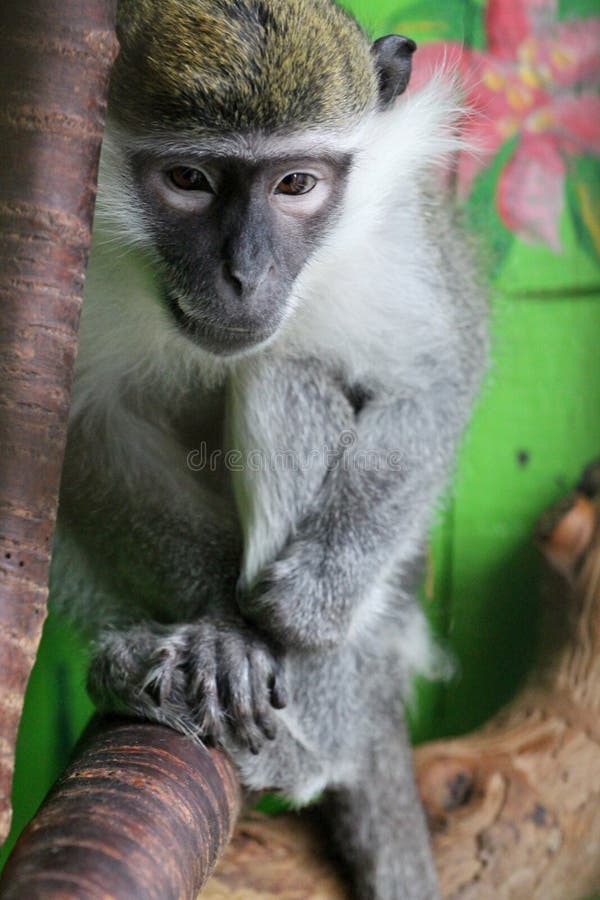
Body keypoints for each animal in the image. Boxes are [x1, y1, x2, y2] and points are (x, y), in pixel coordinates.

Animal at [50, 1, 488, 898]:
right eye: (190, 180)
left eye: (296, 184)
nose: (245, 275)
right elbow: (87, 435)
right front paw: (223, 631)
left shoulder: (395, 240)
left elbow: (434, 377)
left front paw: (303, 606)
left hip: (386, 621)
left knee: (281, 375)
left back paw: (314, 752)